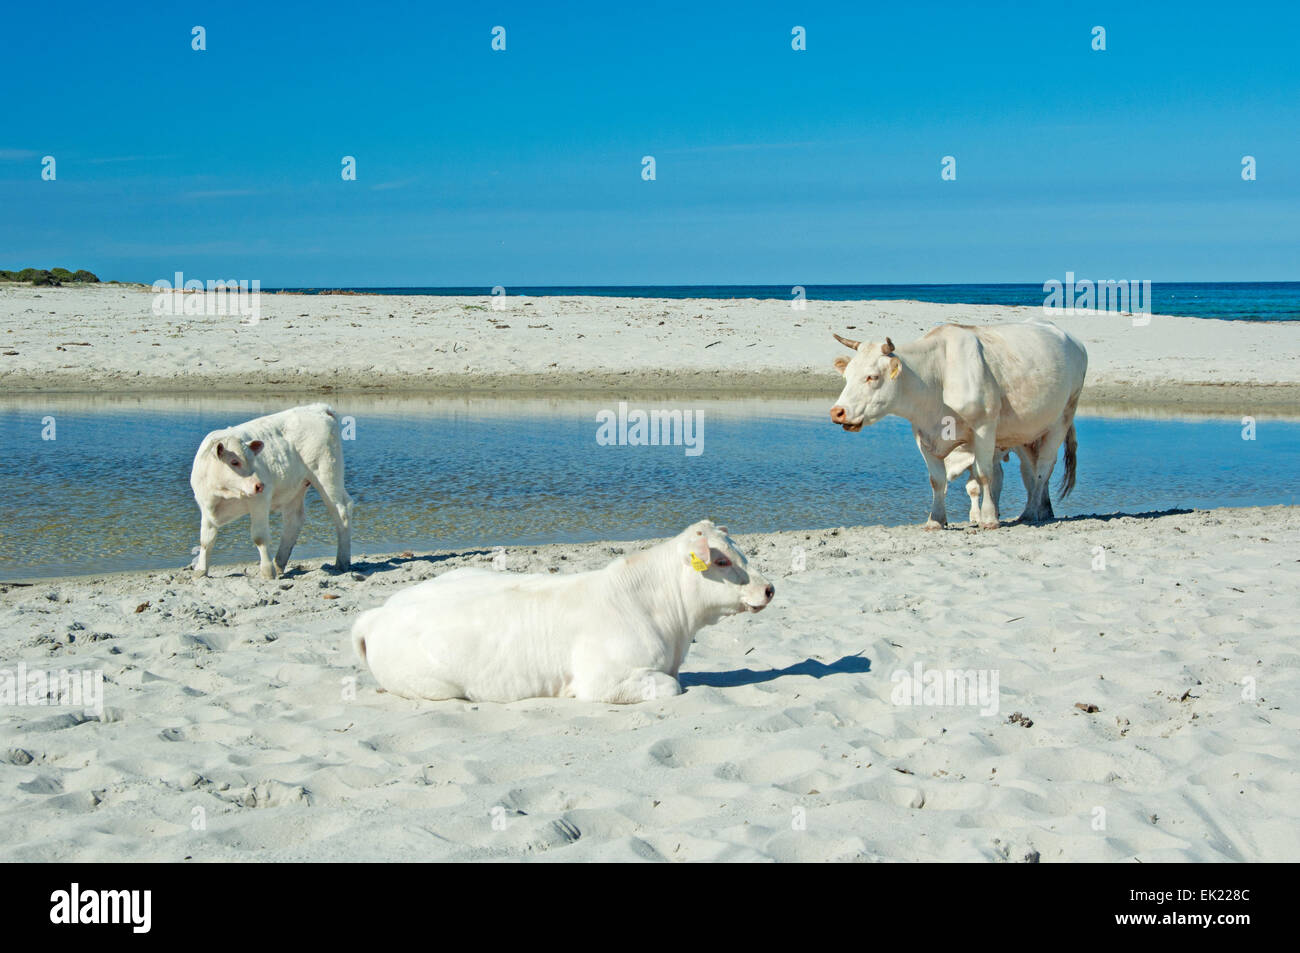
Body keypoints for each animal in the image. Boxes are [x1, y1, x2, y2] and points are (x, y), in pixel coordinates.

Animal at [190, 403, 353, 579]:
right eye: (234, 462)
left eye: (253, 459)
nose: (259, 485)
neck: (223, 493)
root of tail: (318, 408)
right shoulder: (206, 506)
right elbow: (206, 540)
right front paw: (201, 571)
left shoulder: (260, 500)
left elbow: (259, 537)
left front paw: (267, 571)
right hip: (295, 488)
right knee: (293, 520)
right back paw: (279, 563)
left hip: (327, 475)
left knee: (342, 511)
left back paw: (342, 562)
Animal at [351, 520, 774, 704]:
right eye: (721, 562)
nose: (768, 588)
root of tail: (378, 613)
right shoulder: (603, 681)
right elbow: (673, 686)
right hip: (433, 686)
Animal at [829, 321, 1087, 529]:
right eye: (846, 376)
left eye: (872, 376)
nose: (837, 412)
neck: (937, 378)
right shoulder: (923, 434)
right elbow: (937, 481)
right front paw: (935, 520)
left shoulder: (984, 429)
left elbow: (984, 475)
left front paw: (989, 519)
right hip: (1025, 433)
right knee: (1029, 471)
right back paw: (1042, 511)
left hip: (1062, 417)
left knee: (1044, 467)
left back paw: (1032, 511)